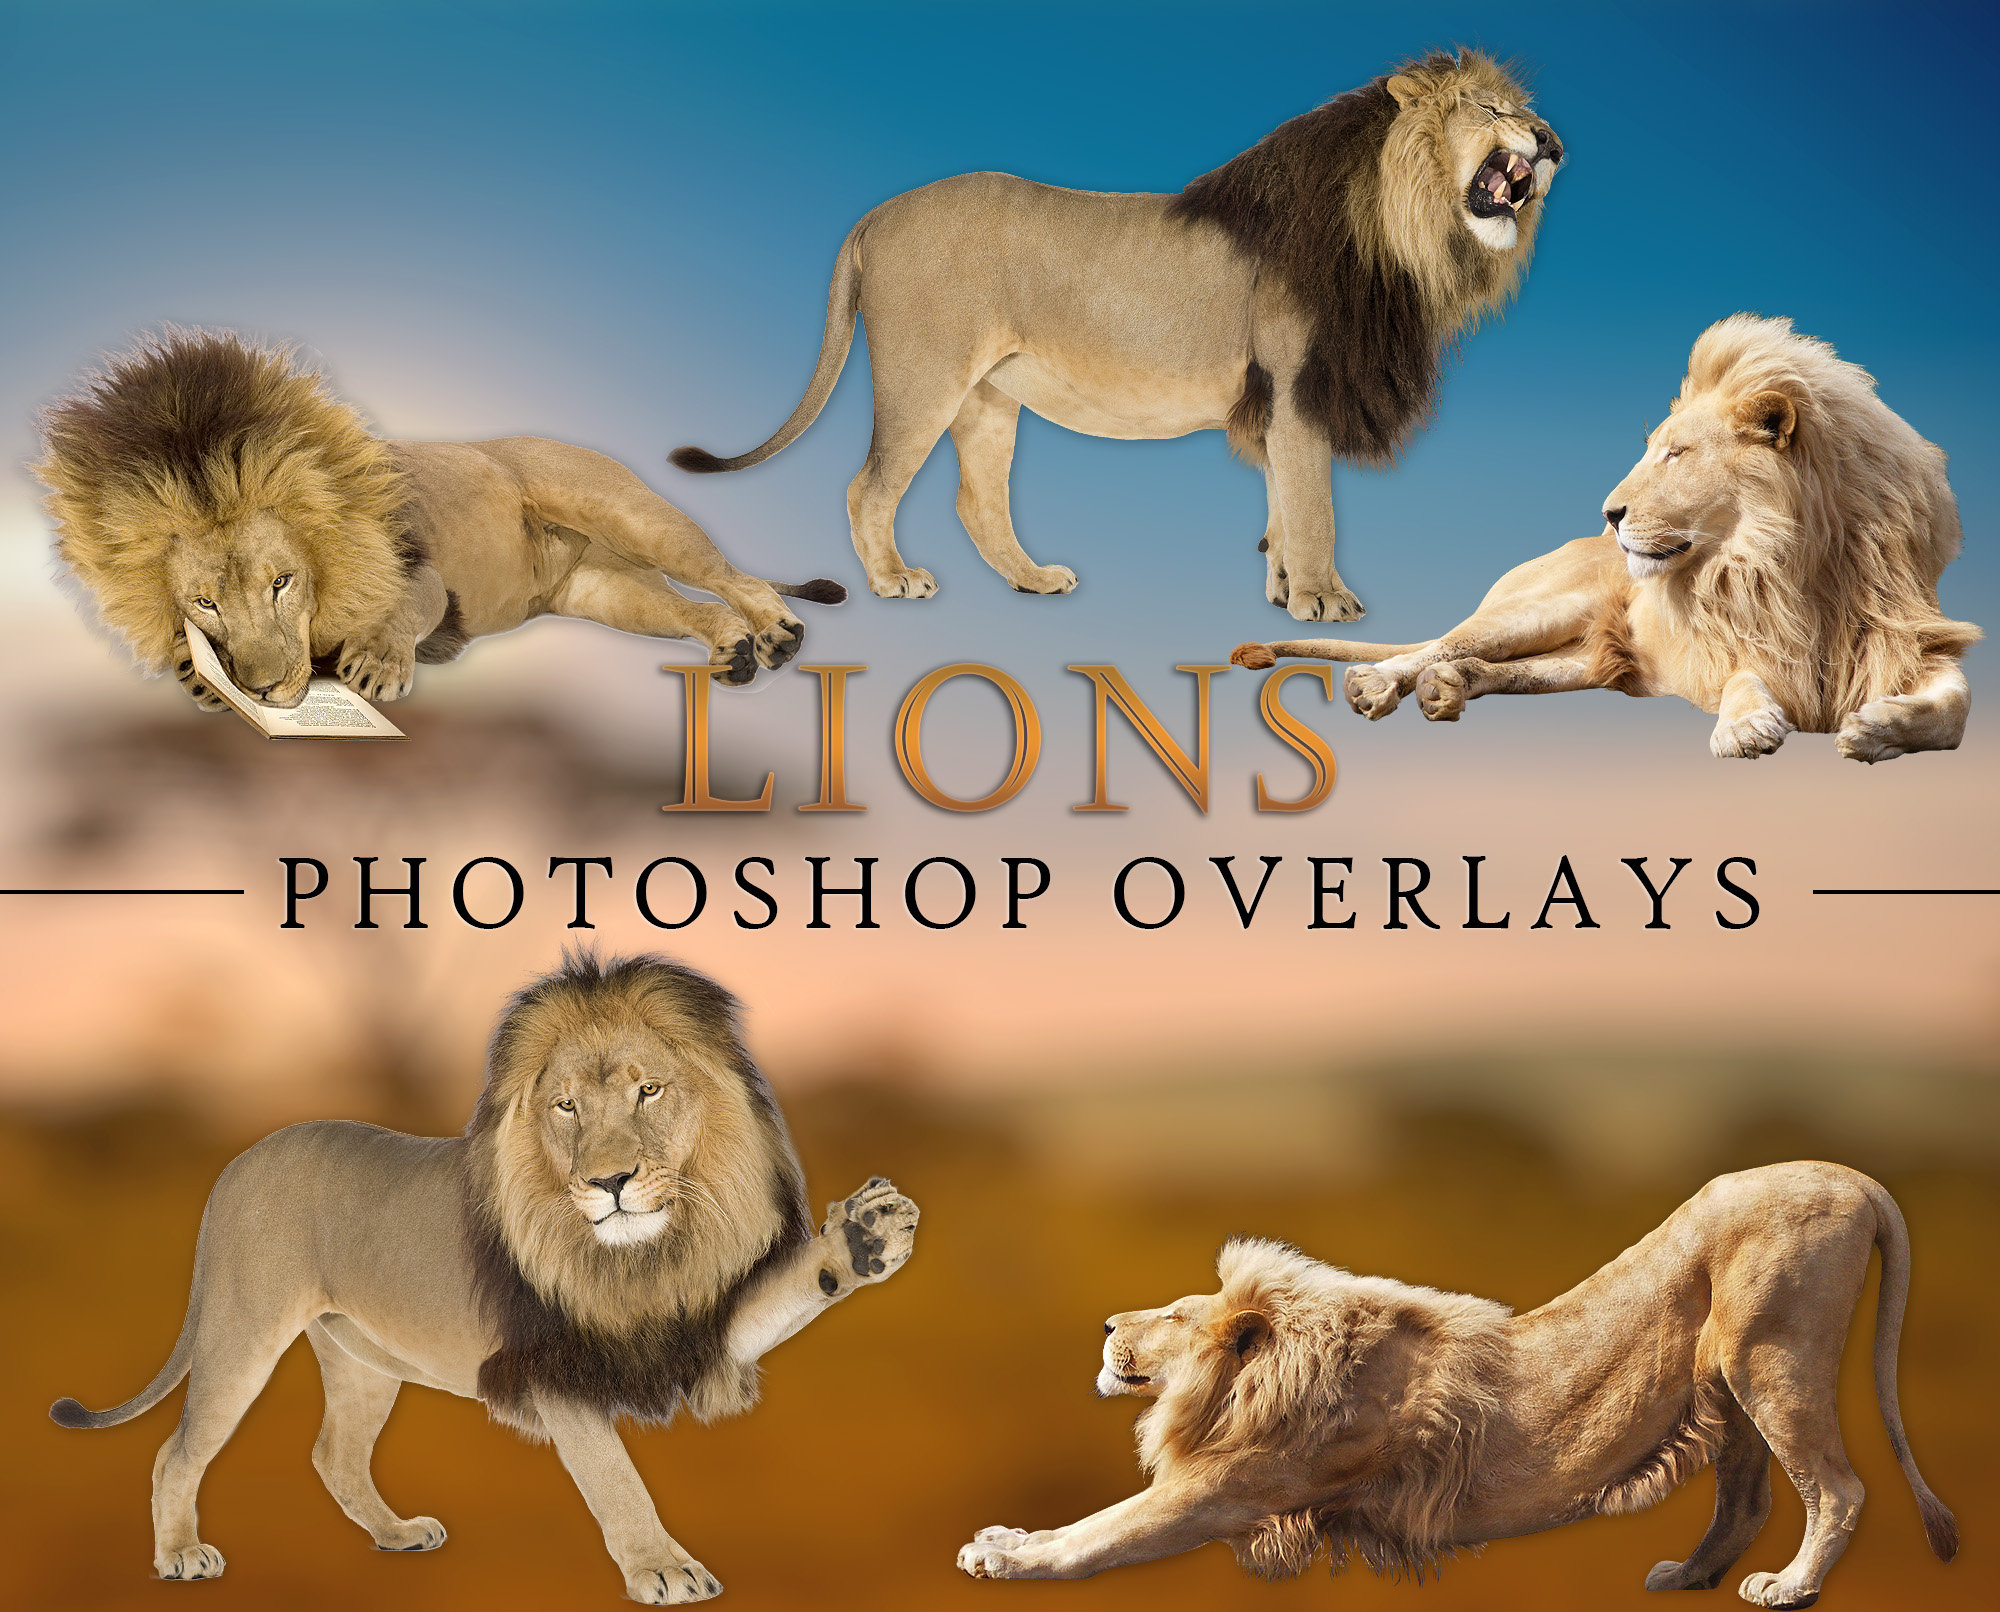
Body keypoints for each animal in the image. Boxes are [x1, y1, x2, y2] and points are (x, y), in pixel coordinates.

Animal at [35, 331, 846, 711]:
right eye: (204, 602)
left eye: (282, 583)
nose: (259, 692)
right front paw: (199, 673)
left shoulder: (421, 579)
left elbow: (400, 613)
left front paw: (376, 662)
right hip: (602, 590)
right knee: (690, 609)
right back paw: (734, 650)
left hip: (629, 514)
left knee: (731, 577)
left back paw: (778, 632)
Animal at [49, 952, 919, 1604]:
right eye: (565, 1107)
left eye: (649, 1090)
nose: (610, 1182)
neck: (644, 1256)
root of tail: (241, 1158)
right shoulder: (551, 1367)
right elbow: (615, 1477)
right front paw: (663, 1567)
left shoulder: (701, 1318)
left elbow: (794, 1287)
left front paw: (868, 1235)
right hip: (242, 1330)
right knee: (178, 1450)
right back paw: (180, 1556)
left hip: (361, 1358)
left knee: (335, 1454)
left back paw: (397, 1536)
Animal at [670, 49, 1561, 621]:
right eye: (1495, 109)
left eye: (1529, 112)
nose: (1552, 142)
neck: (1400, 232)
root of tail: (874, 214)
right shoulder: (1297, 385)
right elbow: (1315, 508)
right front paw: (1323, 600)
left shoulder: (1276, 404)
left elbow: (1282, 502)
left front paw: (1282, 588)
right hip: (924, 377)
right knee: (869, 486)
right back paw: (894, 582)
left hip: (988, 396)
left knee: (976, 500)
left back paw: (1031, 580)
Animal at [958, 1162, 1957, 1609]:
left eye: (1169, 1313)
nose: (1104, 1327)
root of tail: (1854, 1178)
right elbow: (1086, 1525)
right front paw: (1006, 1536)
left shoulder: (1225, 1490)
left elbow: (1098, 1534)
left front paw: (1004, 1557)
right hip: (1726, 1379)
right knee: (1747, 1498)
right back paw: (1689, 1576)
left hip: (1772, 1354)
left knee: (1837, 1487)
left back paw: (1789, 1588)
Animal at [1231, 315, 1982, 759]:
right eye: (1653, 450)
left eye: (1676, 455)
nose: (1609, 513)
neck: (1789, 560)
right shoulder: (1729, 644)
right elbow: (1746, 672)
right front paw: (1745, 725)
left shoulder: (1911, 639)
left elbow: (1955, 703)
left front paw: (1878, 728)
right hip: (1538, 609)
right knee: (1434, 645)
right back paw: (1376, 687)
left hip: (1585, 658)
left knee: (1490, 667)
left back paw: (1447, 691)